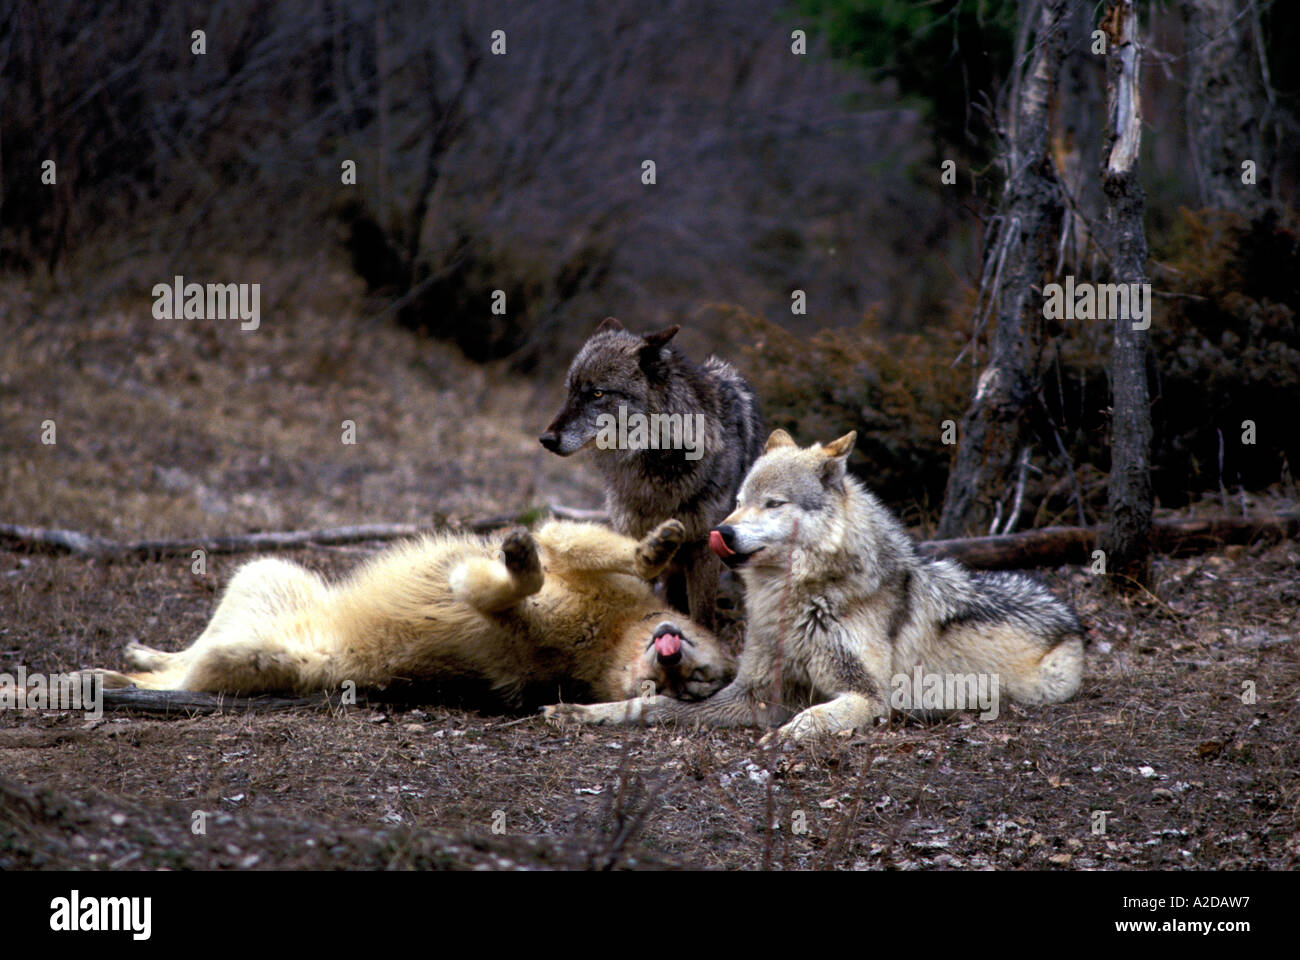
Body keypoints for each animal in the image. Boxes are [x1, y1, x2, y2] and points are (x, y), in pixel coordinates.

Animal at [82, 520, 733, 709]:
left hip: (251, 651)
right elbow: (602, 549)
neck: (610, 635)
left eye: (690, 687)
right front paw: (656, 547)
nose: (669, 660)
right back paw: (130, 658)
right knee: (177, 657)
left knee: (176, 677)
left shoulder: (491, 599)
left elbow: (515, 579)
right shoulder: (565, 544)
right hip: (266, 572)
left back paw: (100, 678)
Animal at [539, 318, 764, 631]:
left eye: (597, 393)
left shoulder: (705, 548)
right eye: (569, 391)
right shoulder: (635, 539)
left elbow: (703, 617)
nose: (546, 439)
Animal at [545, 430, 1083, 742]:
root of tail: (1070, 617)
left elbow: (815, 716)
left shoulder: (869, 697)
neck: (800, 600)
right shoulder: (753, 693)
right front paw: (583, 712)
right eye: (739, 502)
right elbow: (654, 705)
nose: (722, 532)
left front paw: (788, 735)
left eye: (774, 504)